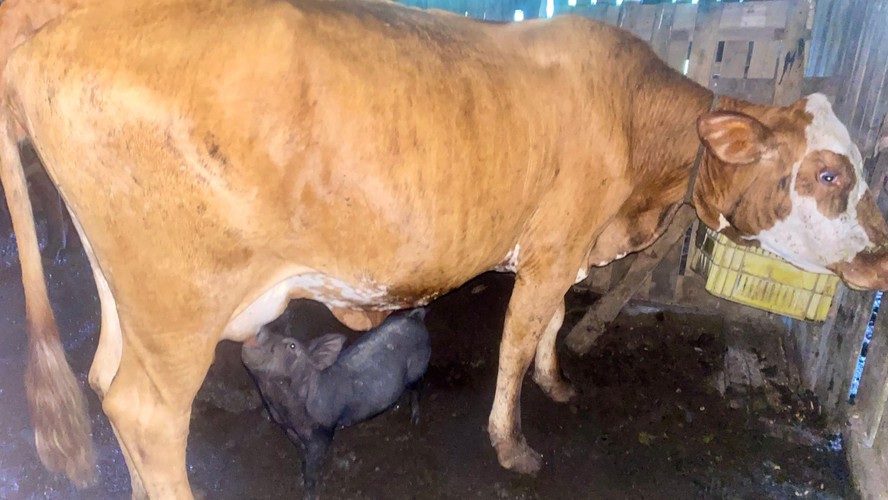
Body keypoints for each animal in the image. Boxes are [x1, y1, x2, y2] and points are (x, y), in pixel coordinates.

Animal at [1, 0, 887, 498]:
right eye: (830, 172)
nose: (880, 255)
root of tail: (60, 26)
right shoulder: (554, 244)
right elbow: (519, 339)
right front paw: (513, 444)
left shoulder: (570, 247)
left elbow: (553, 329)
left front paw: (557, 382)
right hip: (180, 305)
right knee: (147, 416)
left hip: (127, 297)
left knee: (102, 380)